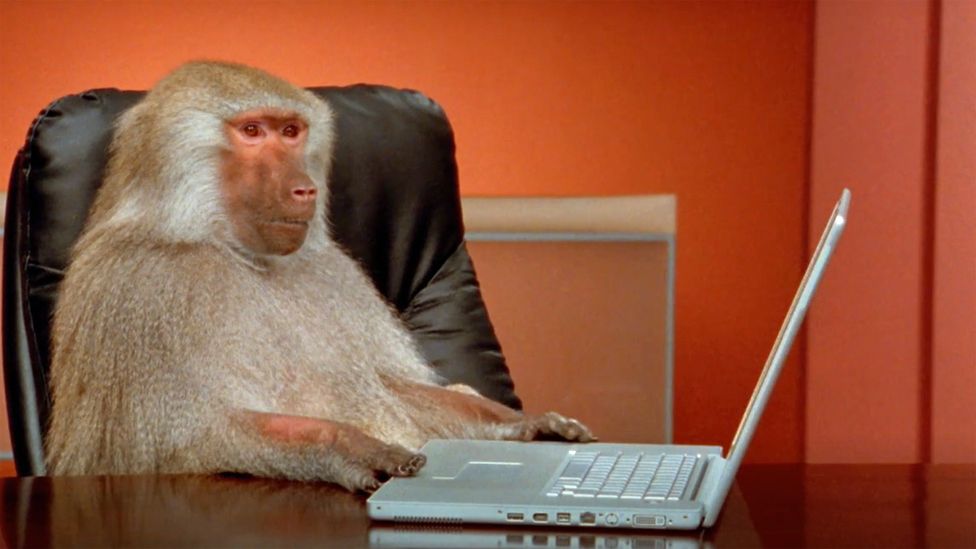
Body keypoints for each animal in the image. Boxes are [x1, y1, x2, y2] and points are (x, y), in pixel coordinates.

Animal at [45, 61, 594, 492]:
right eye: (252, 132)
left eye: (291, 132)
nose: (304, 189)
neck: (231, 248)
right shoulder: (142, 293)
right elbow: (189, 440)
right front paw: (351, 445)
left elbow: (391, 385)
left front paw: (522, 423)